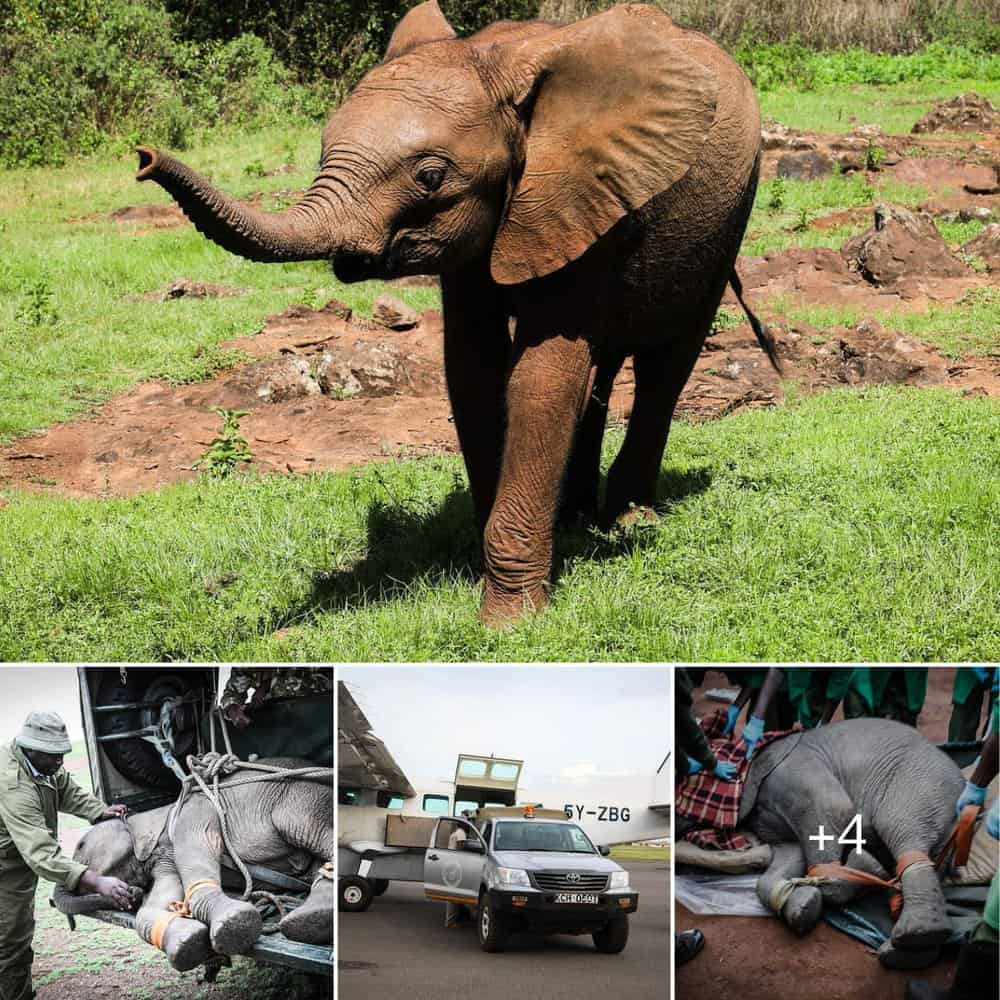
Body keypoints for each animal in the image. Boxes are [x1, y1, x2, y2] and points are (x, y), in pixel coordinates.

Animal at [52, 758, 334, 972]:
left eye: (80, 845)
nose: (130, 894)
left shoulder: (193, 811)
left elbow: (197, 845)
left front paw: (234, 924)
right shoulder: (162, 857)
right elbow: (163, 895)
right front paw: (188, 944)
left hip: (299, 795)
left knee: (310, 829)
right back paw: (312, 918)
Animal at [133, 1, 775, 627]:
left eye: (431, 176)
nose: (142, 157)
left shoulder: (578, 193)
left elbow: (541, 375)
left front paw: (509, 622)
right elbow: (473, 365)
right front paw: (486, 568)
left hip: (728, 212)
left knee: (666, 361)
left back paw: (629, 520)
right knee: (605, 366)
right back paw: (574, 517)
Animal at [683, 719, 967, 968]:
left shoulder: (789, 773)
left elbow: (833, 810)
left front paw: (860, 868)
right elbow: (789, 852)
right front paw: (803, 906)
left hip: (919, 783)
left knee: (899, 827)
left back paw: (913, 928)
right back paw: (905, 954)